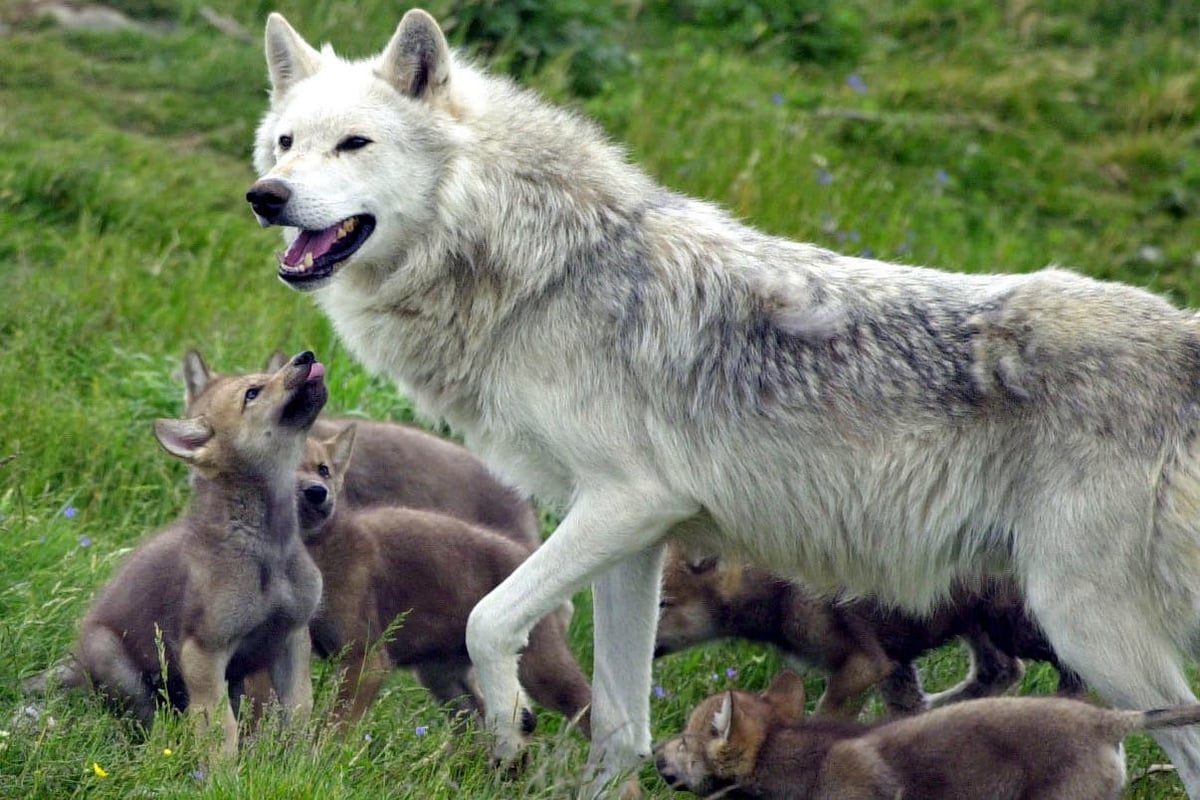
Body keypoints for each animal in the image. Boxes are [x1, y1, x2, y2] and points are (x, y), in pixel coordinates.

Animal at [60, 351, 326, 757]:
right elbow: (220, 729)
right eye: (252, 393)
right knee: (148, 719)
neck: (270, 547)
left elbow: (298, 710)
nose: (306, 356)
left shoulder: (292, 637)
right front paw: (224, 772)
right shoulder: (203, 651)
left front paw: (300, 762)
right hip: (115, 659)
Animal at [656, 546, 1085, 717]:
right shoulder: (890, 660)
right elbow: (906, 709)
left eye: (662, 604)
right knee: (1001, 671)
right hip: (974, 623)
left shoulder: (862, 666)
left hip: (1016, 626)